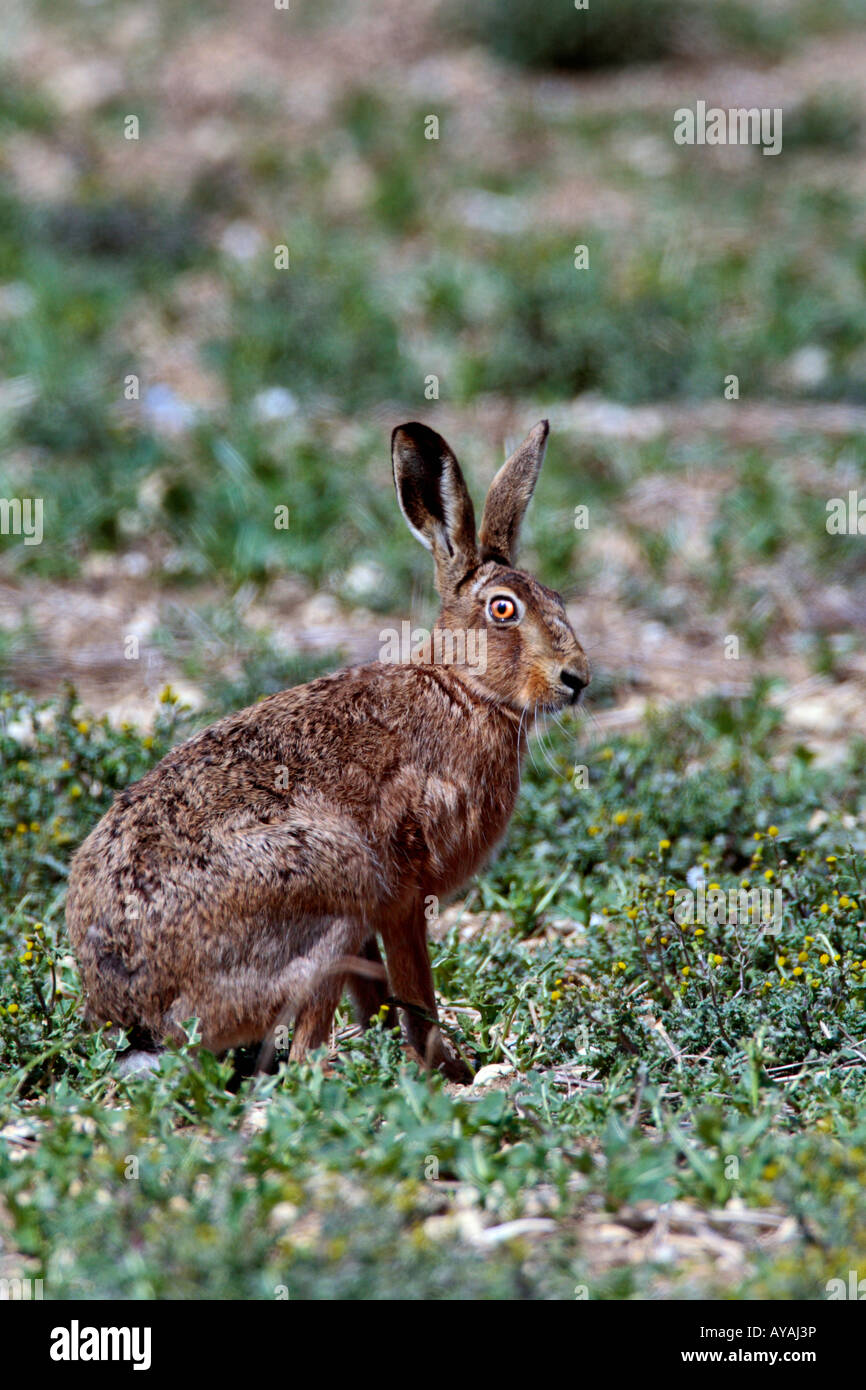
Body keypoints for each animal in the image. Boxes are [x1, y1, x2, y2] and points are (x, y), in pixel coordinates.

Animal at [66, 420, 590, 1081]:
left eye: (558, 598)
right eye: (503, 608)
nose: (578, 679)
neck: (462, 688)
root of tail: (135, 1010)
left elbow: (379, 996)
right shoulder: (402, 896)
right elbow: (415, 990)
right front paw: (448, 1071)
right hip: (332, 896)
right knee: (305, 1053)